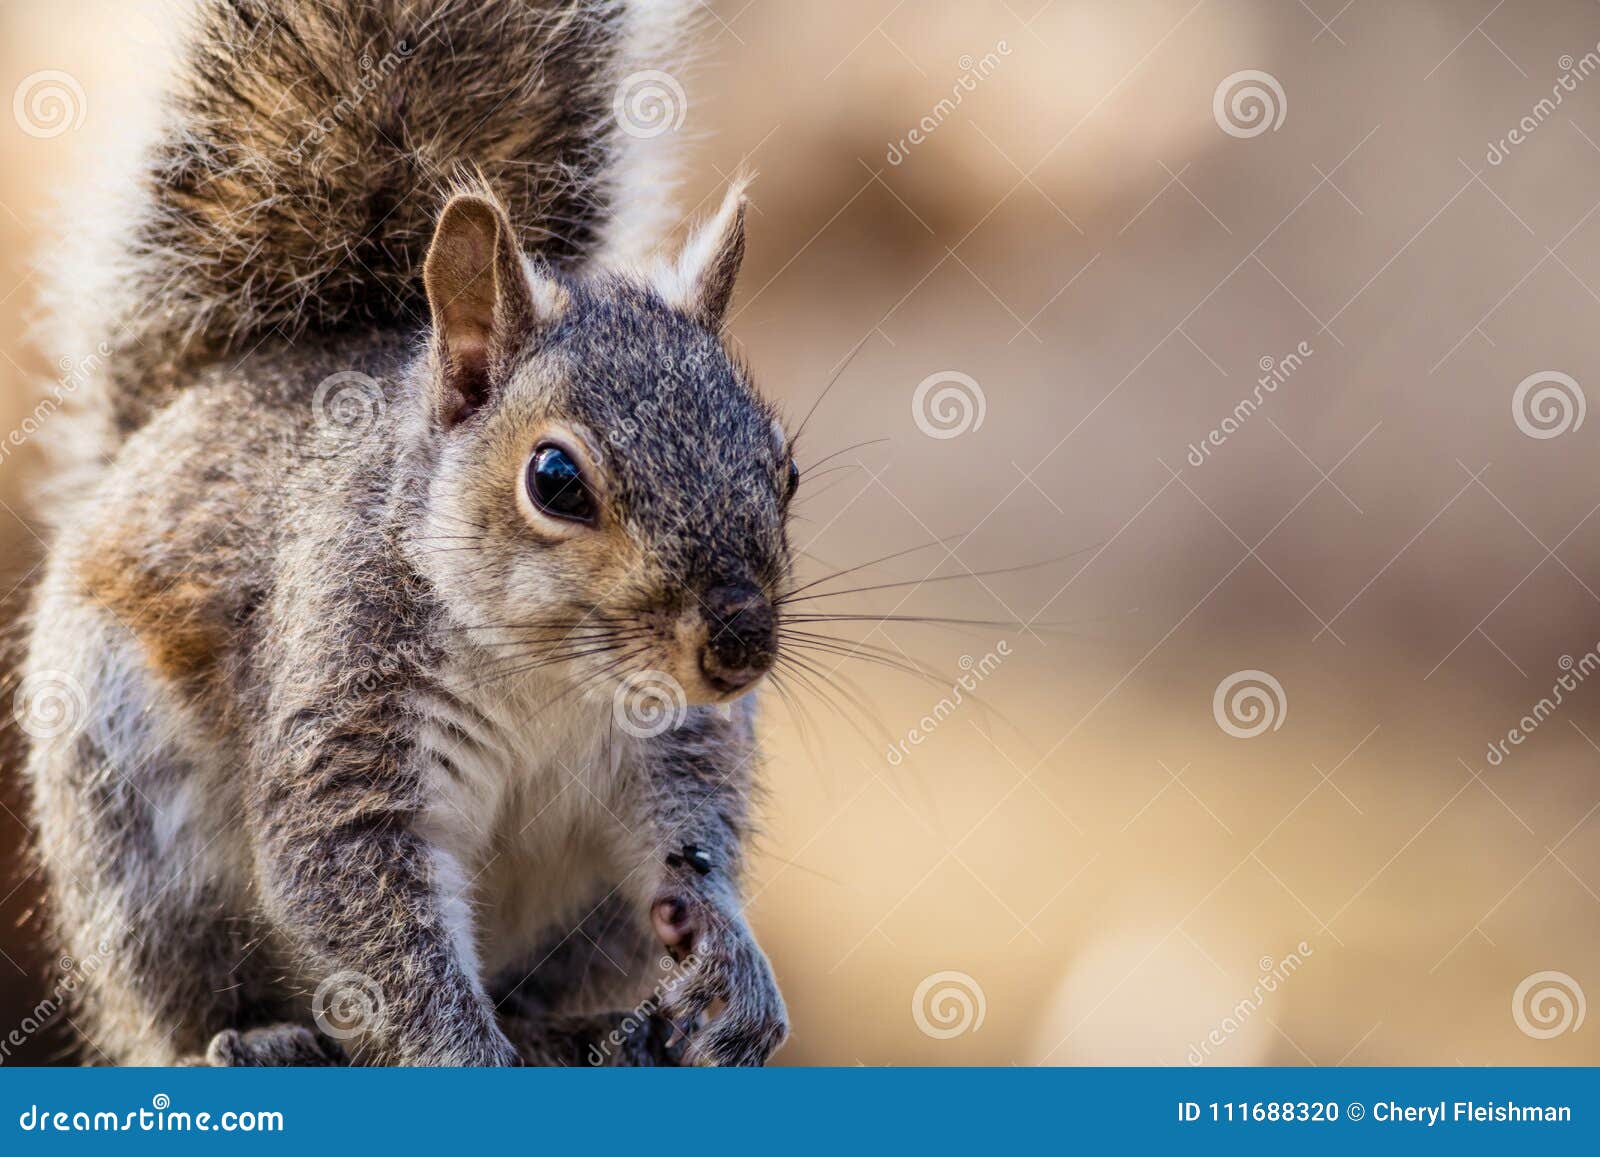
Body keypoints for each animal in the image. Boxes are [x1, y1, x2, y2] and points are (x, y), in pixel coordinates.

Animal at [18, 0, 795, 1067]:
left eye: (785, 470)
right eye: (555, 480)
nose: (738, 646)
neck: (548, 672)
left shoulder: (676, 738)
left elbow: (691, 835)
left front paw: (736, 963)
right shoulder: (347, 713)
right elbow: (367, 915)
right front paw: (463, 1057)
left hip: (592, 925)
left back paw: (584, 1025)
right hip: (130, 823)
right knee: (173, 1004)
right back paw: (259, 1035)